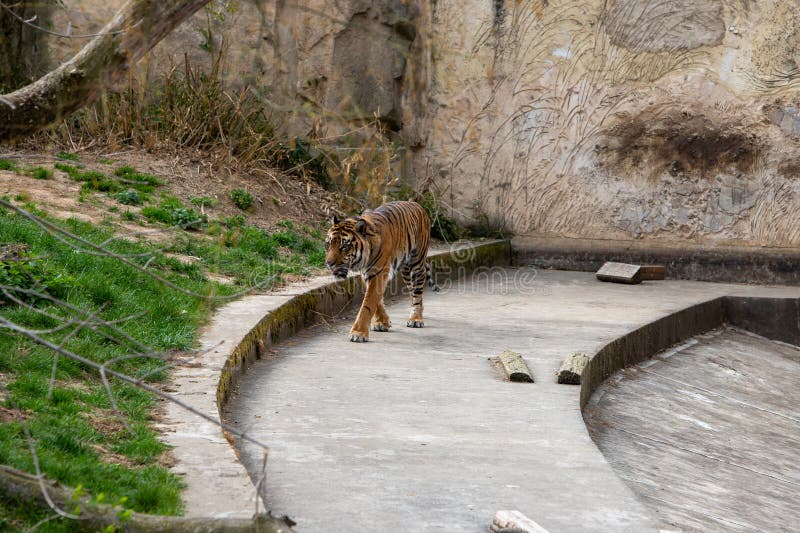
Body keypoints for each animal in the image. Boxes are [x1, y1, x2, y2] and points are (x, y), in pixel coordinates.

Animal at [324, 201, 435, 342]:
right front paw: (382, 322)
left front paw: (358, 333)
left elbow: (367, 305)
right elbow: (377, 302)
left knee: (417, 292)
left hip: (417, 264)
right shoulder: (366, 274)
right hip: (405, 269)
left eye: (344, 246)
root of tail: (417, 204)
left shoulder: (378, 273)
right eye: (328, 244)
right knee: (412, 290)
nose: (329, 263)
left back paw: (416, 319)